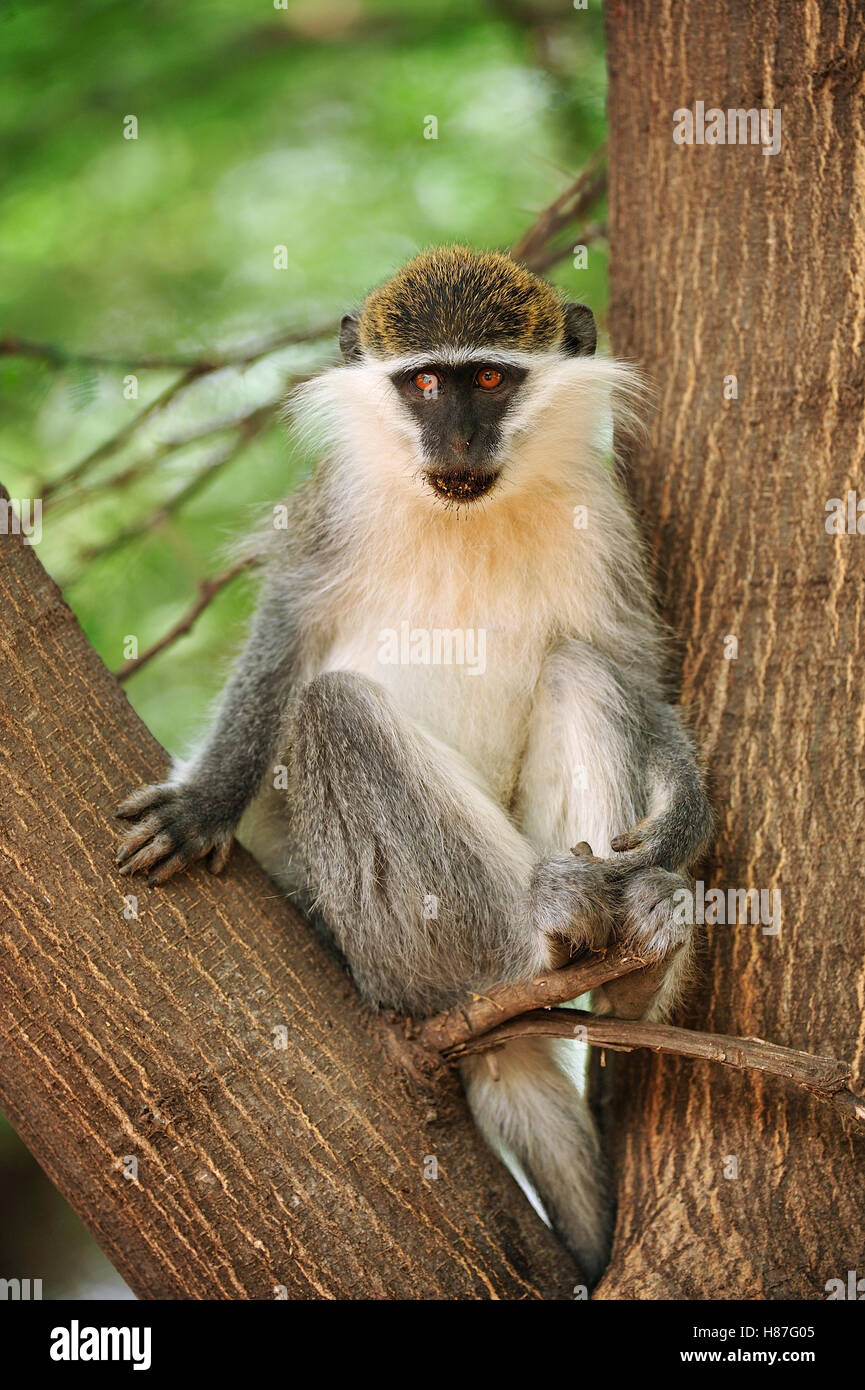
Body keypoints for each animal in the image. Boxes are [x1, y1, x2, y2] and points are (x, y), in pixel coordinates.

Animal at [115, 245, 713, 1283]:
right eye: (424, 383)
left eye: (489, 380)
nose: (457, 445)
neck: (469, 514)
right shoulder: (332, 513)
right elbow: (285, 639)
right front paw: (204, 803)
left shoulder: (606, 522)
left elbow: (631, 668)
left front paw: (681, 817)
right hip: (370, 933)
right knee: (333, 712)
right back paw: (534, 949)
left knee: (579, 668)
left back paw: (619, 961)